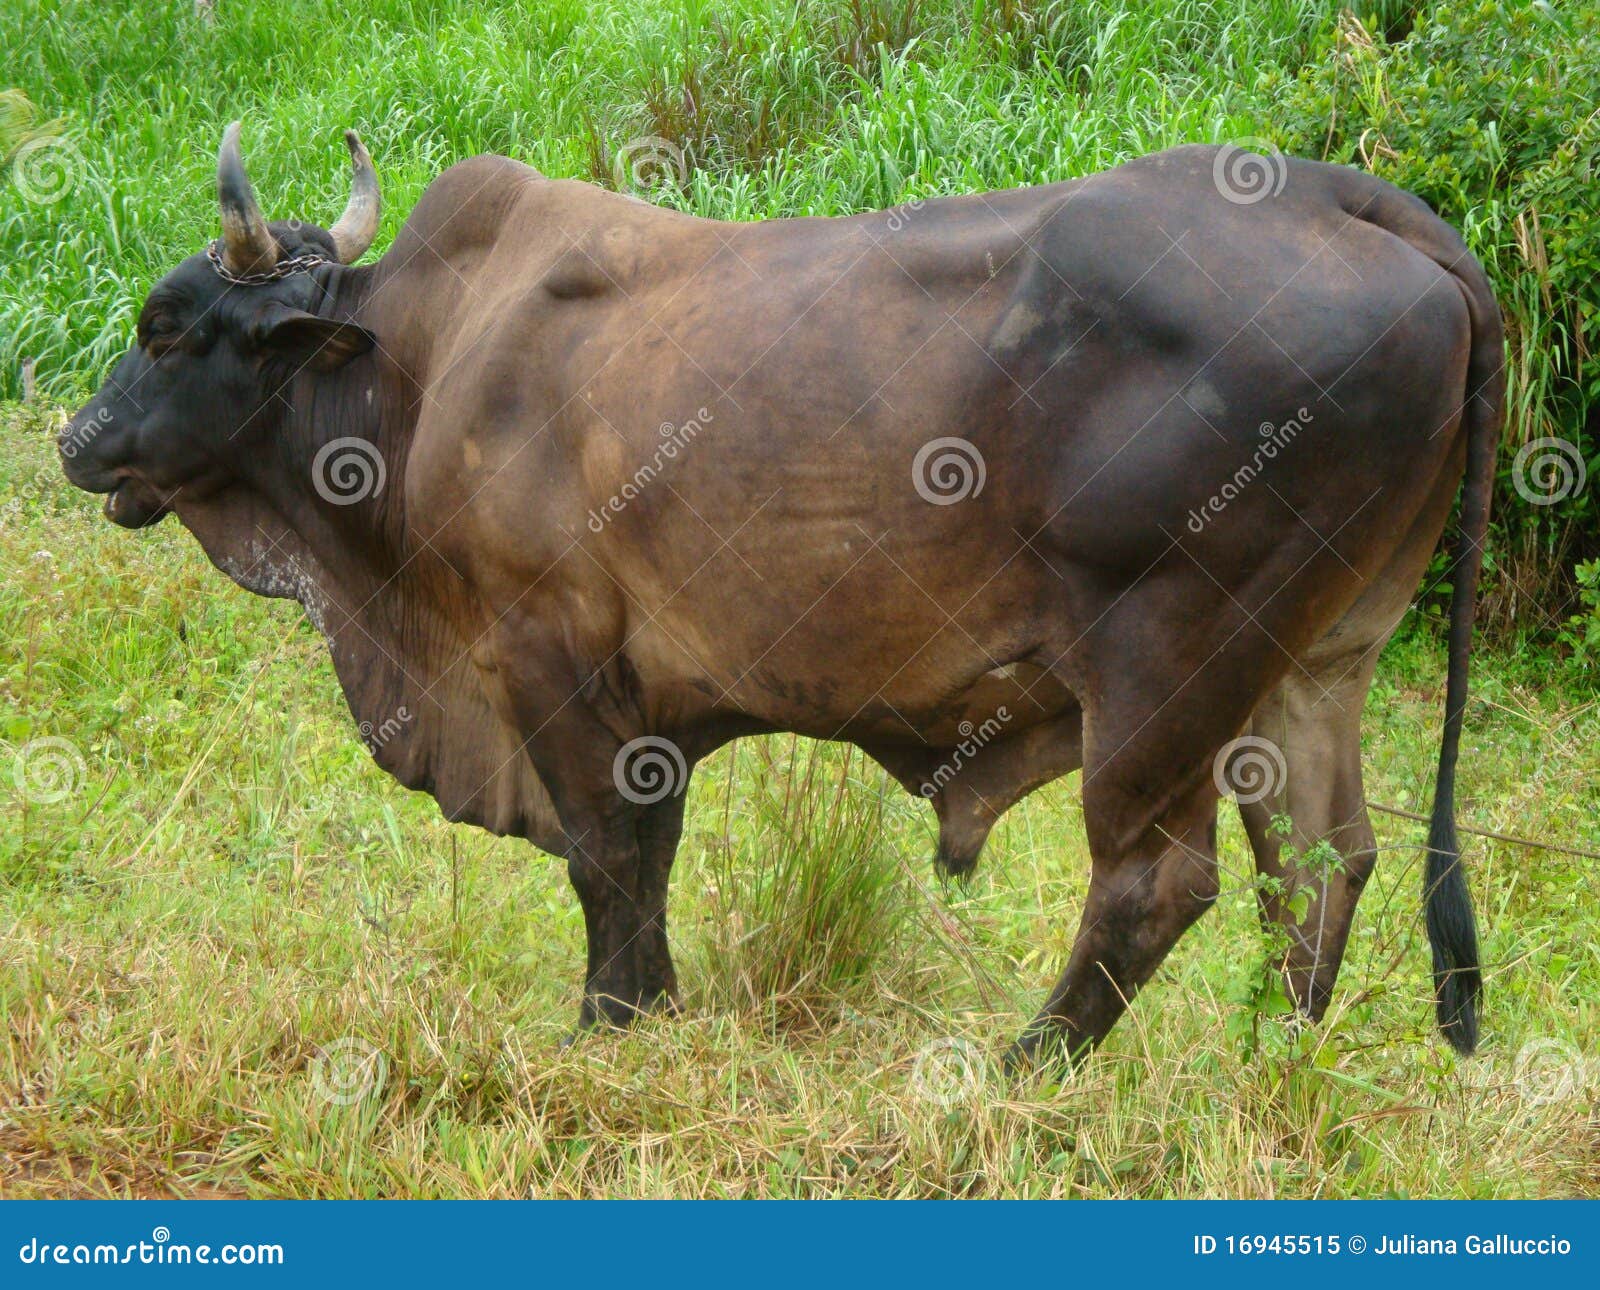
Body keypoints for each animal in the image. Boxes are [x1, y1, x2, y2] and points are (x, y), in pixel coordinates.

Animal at [60, 124, 1501, 1068]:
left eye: (167, 327)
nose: (79, 441)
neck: (424, 362)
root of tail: (1350, 202)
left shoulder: (543, 643)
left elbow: (598, 850)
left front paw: (604, 1027)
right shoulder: (646, 699)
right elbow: (645, 847)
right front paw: (651, 1005)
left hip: (1169, 659)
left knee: (1159, 880)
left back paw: (1021, 1070)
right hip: (1312, 661)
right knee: (1321, 859)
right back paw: (1264, 1065)